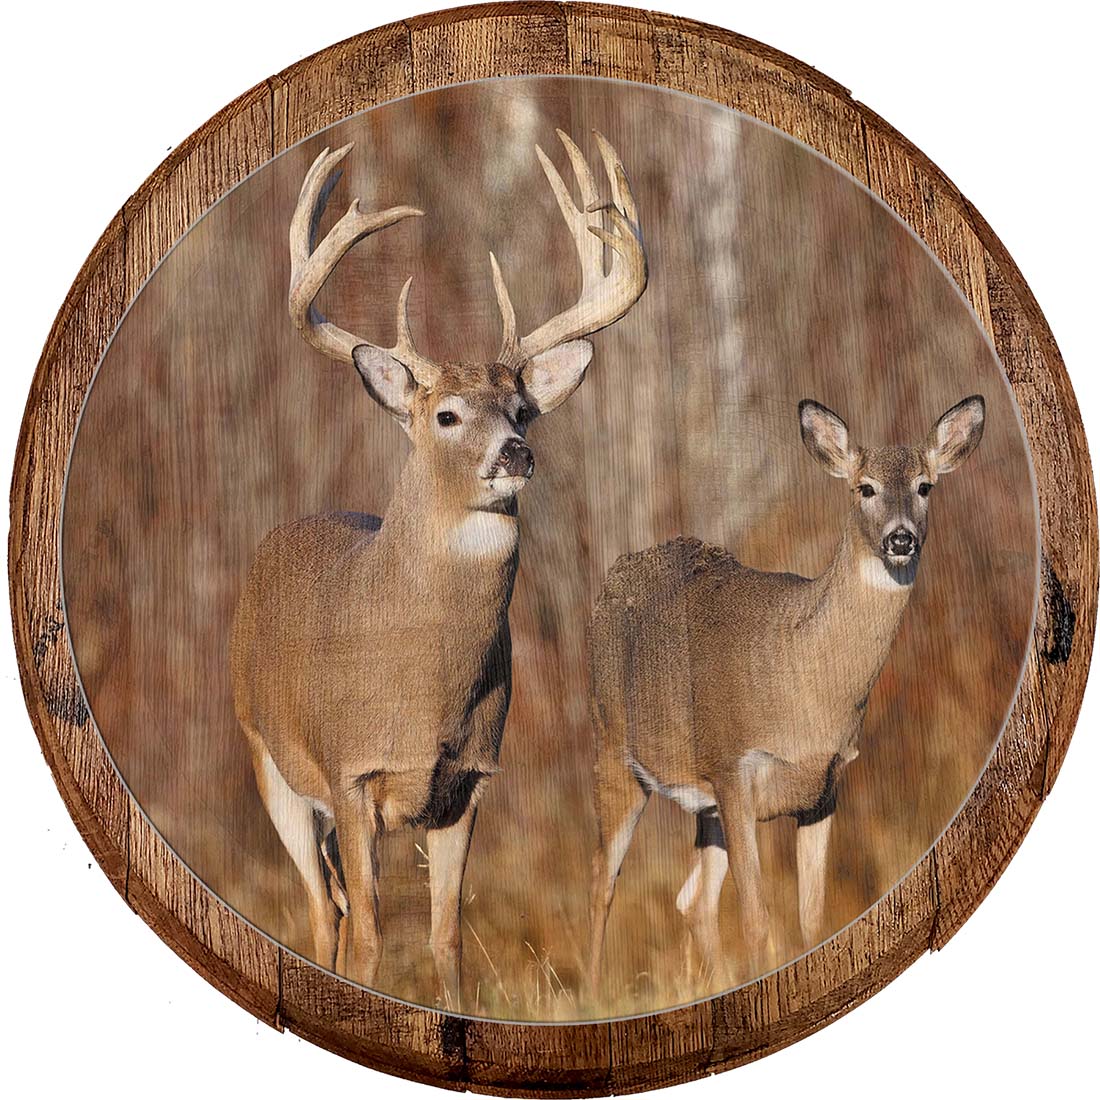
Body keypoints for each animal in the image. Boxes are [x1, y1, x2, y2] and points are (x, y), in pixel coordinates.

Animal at [230, 130, 647, 1008]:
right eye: (448, 415)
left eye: (522, 410)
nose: (516, 452)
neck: (423, 688)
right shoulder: (352, 772)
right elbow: (370, 938)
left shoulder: (469, 780)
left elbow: (448, 936)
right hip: (268, 758)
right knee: (322, 911)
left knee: (335, 907)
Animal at [585, 395, 986, 994]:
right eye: (864, 488)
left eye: (925, 486)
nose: (900, 538)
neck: (809, 689)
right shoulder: (734, 767)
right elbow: (756, 919)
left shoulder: (824, 787)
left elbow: (810, 917)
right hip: (614, 749)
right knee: (602, 881)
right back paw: (590, 993)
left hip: (703, 804)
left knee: (692, 900)